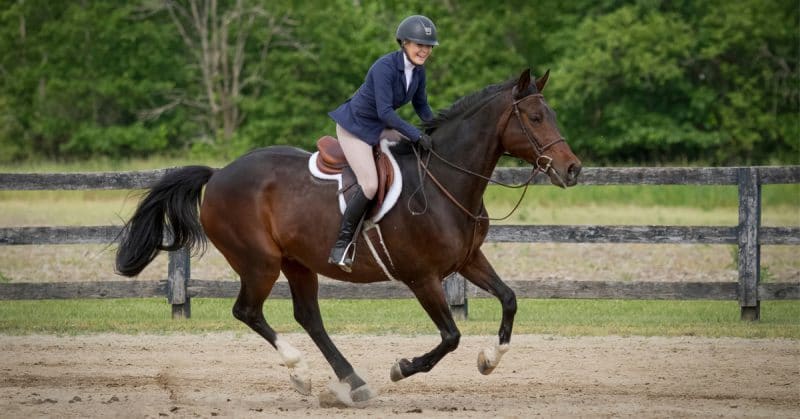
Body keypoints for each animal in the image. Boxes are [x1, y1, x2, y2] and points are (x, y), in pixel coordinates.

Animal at [115, 68, 581, 404]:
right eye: (535, 118)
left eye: (554, 116)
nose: (573, 169)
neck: (445, 181)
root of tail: (218, 175)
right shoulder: (422, 277)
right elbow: (450, 336)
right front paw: (402, 367)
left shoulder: (466, 261)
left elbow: (509, 299)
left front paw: (489, 360)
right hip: (260, 262)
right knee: (248, 311)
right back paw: (301, 372)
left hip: (298, 262)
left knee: (309, 317)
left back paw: (352, 381)